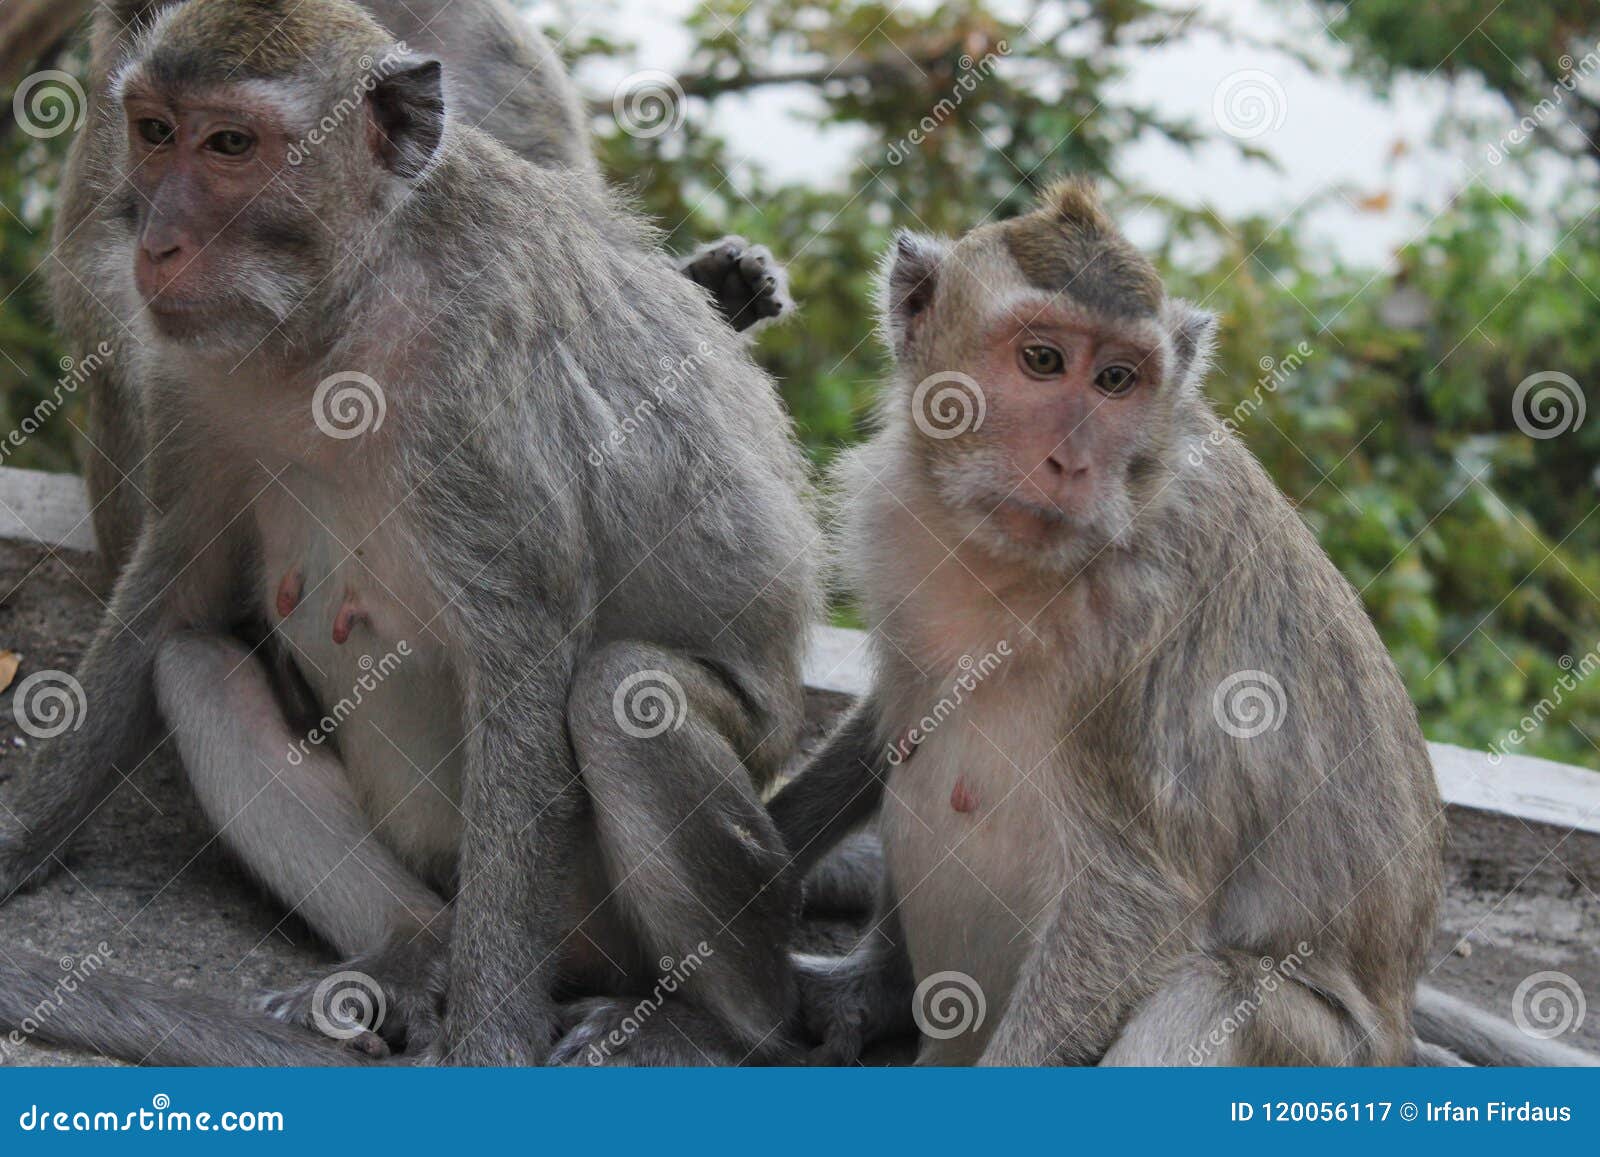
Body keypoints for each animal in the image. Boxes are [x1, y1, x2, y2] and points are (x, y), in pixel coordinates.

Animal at [765, 181, 1599, 1068]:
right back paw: (868, 989)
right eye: (1042, 361)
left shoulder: (1157, 614)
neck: (1017, 561)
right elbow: (890, 723)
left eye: (1117, 380)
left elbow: (1139, 895)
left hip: (1328, 1052)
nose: (1071, 462)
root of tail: (1400, 1037)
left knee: (1213, 993)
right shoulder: (895, 517)